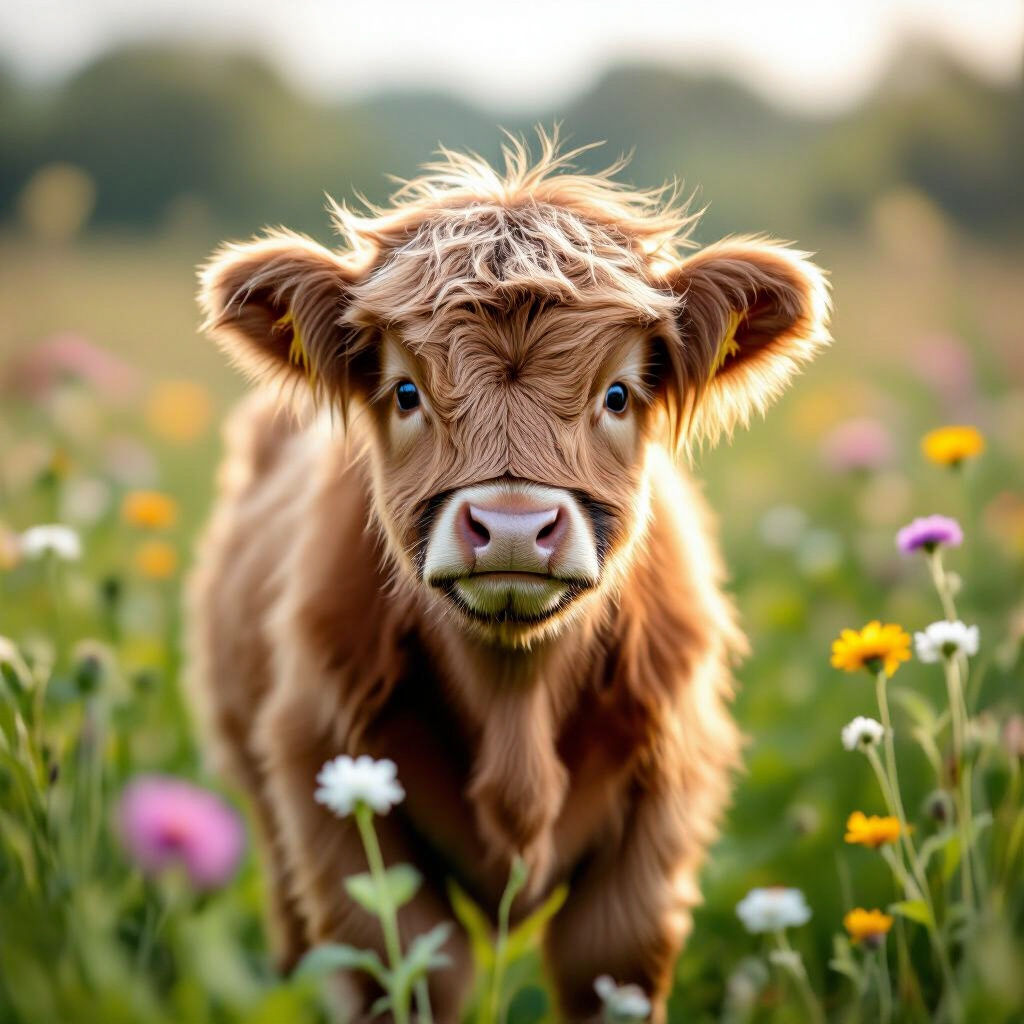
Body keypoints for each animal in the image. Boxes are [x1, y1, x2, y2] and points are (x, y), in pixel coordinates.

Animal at [188, 134, 830, 1023]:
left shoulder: (664, 796)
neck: (514, 701)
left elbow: (611, 965)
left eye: (618, 394)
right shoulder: (322, 778)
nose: (515, 526)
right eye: (406, 391)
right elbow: (404, 966)